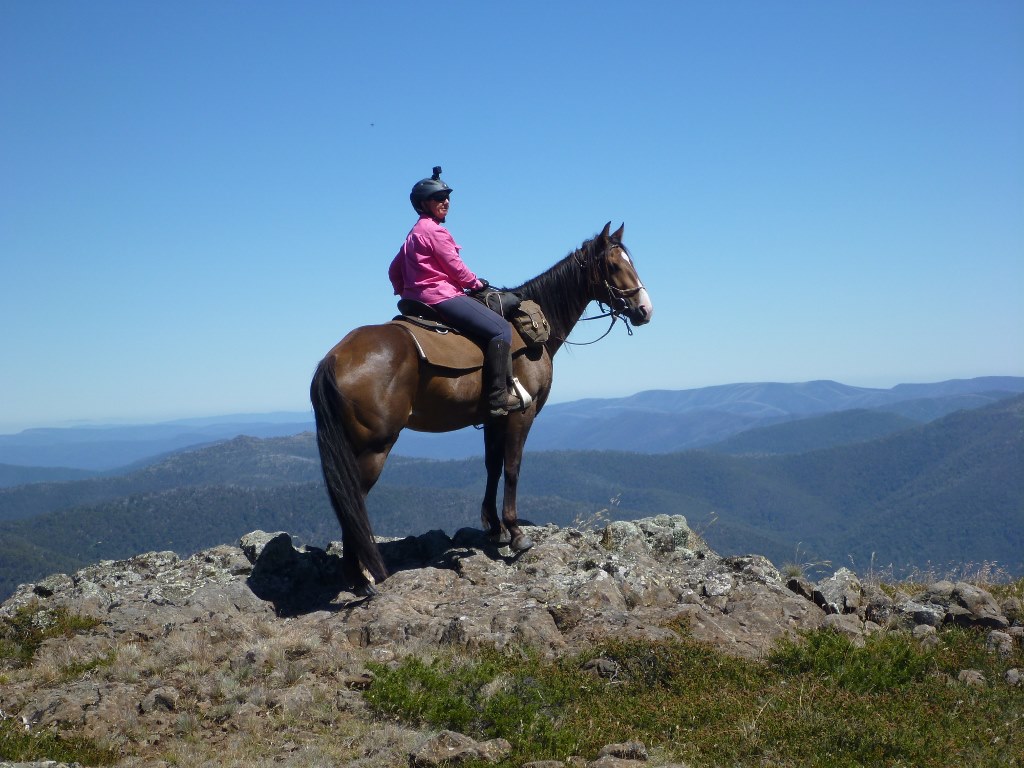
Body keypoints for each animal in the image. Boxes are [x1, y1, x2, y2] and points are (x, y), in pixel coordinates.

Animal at [310, 222, 653, 594]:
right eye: (614, 266)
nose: (645, 309)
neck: (529, 332)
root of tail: (334, 357)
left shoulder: (493, 418)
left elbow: (492, 467)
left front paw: (494, 527)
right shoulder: (521, 414)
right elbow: (513, 468)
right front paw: (515, 533)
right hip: (375, 446)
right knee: (353, 498)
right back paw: (360, 579)